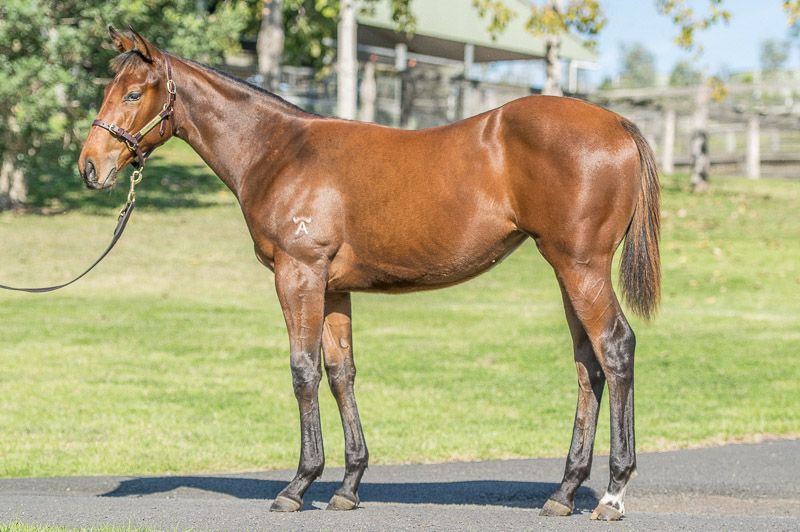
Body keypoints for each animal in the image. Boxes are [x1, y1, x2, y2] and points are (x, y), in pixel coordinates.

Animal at [78, 27, 660, 521]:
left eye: (133, 95)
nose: (89, 166)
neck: (280, 151)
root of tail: (618, 125)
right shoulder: (333, 289)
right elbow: (341, 374)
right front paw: (348, 485)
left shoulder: (298, 275)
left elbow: (303, 372)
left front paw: (298, 485)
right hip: (566, 270)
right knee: (588, 364)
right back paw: (564, 492)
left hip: (580, 267)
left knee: (615, 347)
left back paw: (612, 492)